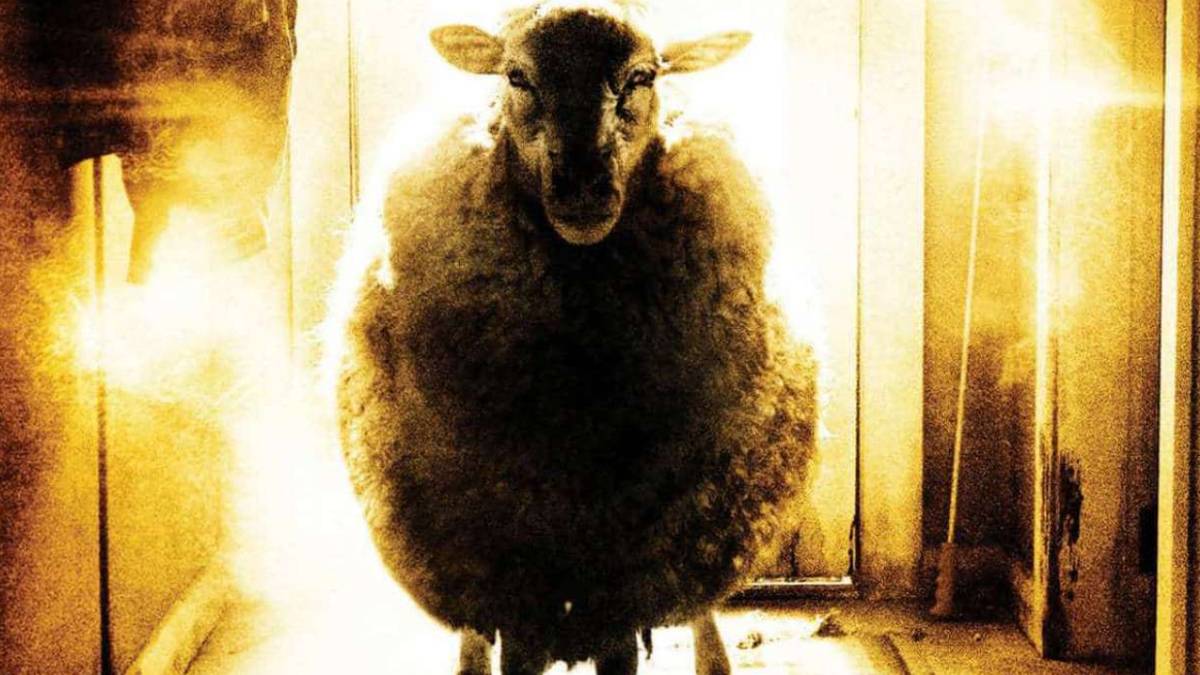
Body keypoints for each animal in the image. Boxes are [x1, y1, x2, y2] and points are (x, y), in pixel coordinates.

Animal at [331, 3, 816, 673]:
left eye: (643, 75)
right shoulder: (516, 585)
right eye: (516, 76)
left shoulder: (625, 585)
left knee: (701, 612)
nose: (583, 187)